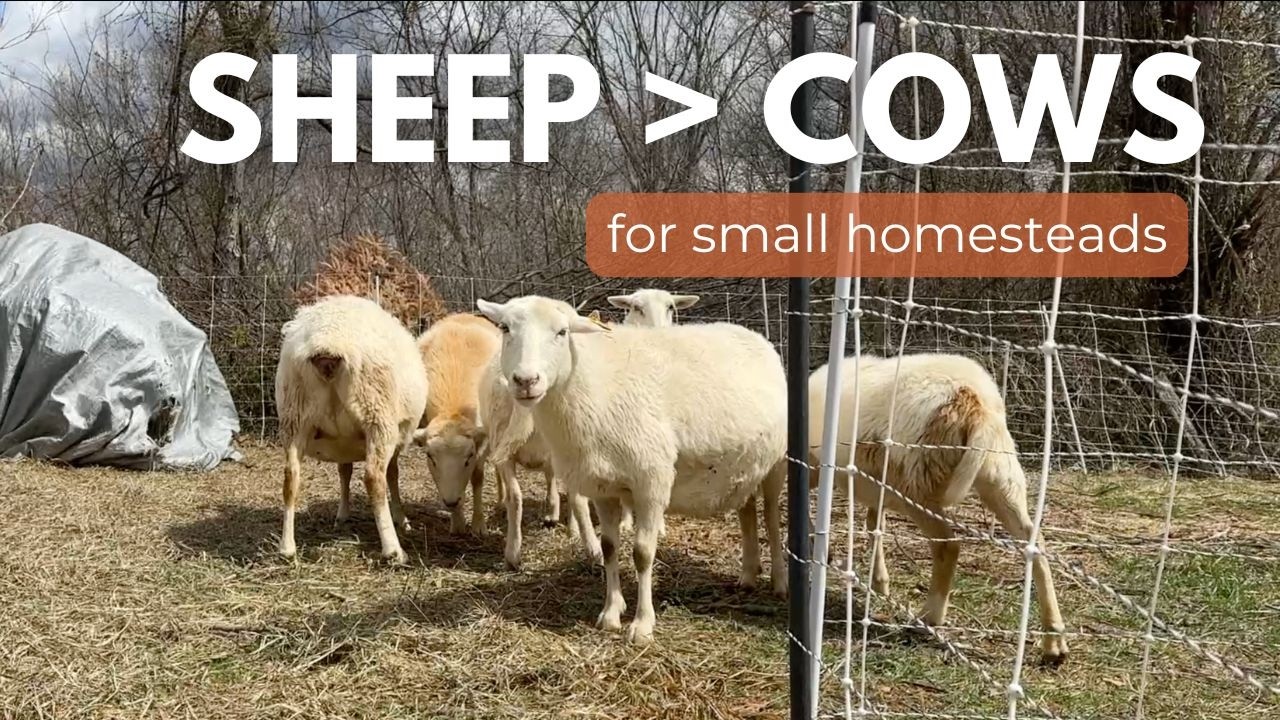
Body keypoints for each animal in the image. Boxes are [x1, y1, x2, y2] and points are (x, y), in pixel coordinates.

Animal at [274, 294, 427, 565]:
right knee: (374, 478)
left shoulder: (340, 442)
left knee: (290, 477)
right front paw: (401, 518)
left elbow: (343, 472)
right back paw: (393, 550)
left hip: (294, 415)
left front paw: (342, 515)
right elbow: (393, 475)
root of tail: (328, 342)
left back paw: (287, 548)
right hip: (378, 416)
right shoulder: (396, 437)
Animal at [413, 313, 501, 535]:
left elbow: (477, 477)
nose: (451, 502)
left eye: (468, 457)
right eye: (430, 457)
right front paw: (458, 522)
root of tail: (466, 314)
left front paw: (478, 525)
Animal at [476, 295, 787, 645]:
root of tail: (754, 335)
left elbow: (642, 553)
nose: (526, 381)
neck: (590, 387)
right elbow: (610, 548)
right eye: (505, 328)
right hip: (745, 466)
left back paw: (779, 582)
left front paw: (642, 624)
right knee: (747, 510)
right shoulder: (602, 487)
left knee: (771, 518)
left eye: (562, 332)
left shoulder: (652, 481)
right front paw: (611, 614)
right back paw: (748, 575)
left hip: (776, 464)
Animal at [806, 352, 1068, 665]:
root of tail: (970, 397)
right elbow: (874, 524)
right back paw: (1054, 642)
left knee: (947, 545)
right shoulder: (876, 485)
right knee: (1035, 542)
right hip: (1001, 475)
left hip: (918, 485)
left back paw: (929, 618)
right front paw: (879, 581)